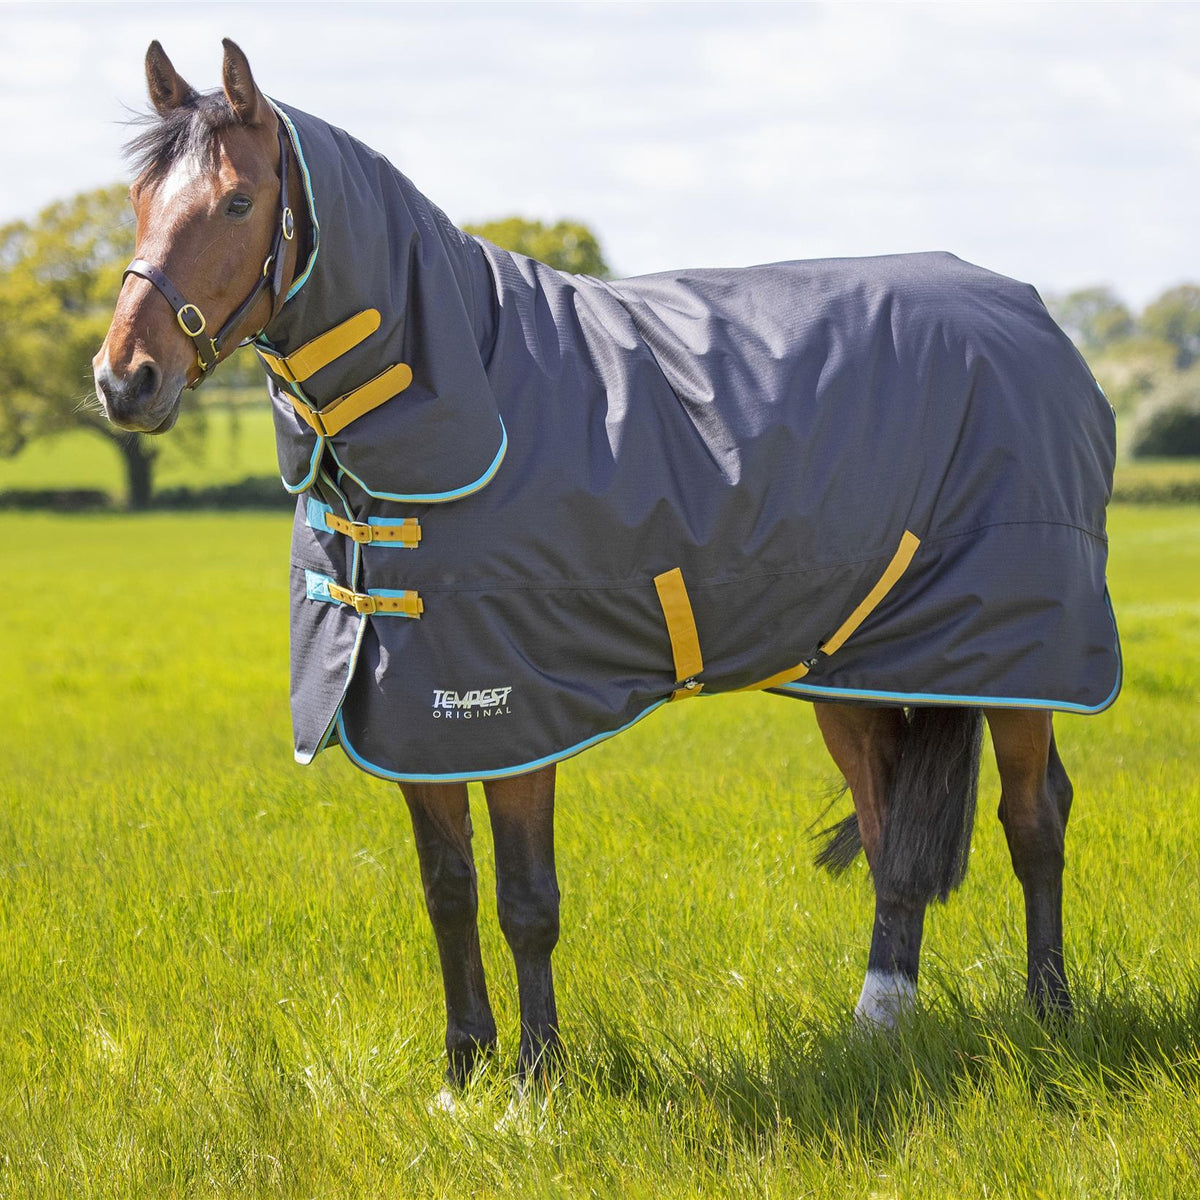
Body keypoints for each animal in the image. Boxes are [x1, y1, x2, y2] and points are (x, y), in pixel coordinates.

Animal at [94, 39, 1119, 1084]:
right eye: (138, 198)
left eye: (235, 202)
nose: (122, 380)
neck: (470, 397)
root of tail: (1033, 318)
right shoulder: (415, 718)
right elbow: (448, 890)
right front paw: (463, 1072)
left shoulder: (509, 710)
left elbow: (526, 901)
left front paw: (536, 1077)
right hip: (860, 668)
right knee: (889, 831)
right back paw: (881, 1018)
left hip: (1020, 658)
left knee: (1036, 820)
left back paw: (1050, 1011)